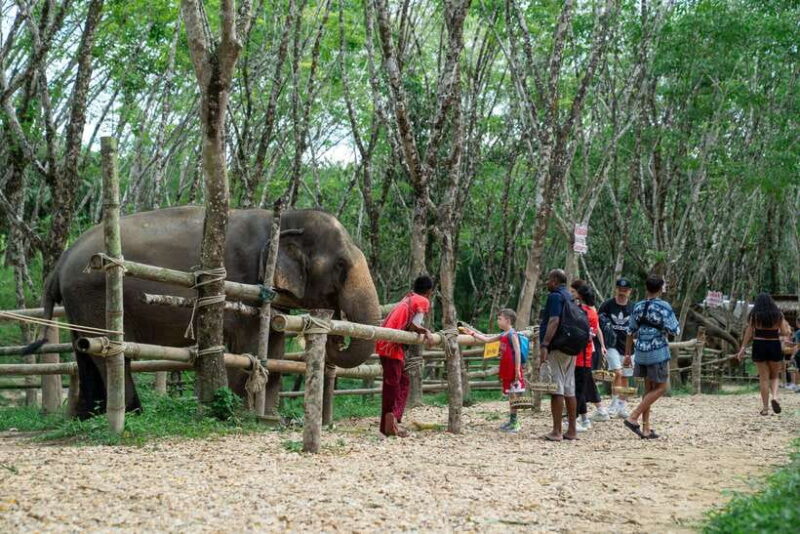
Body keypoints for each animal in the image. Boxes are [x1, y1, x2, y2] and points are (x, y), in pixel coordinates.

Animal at [35, 206, 381, 419]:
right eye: (340, 266)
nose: (336, 333)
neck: (285, 218)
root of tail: (61, 262)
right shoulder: (243, 282)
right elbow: (249, 348)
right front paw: (242, 413)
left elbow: (275, 352)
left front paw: (270, 417)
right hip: (94, 291)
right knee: (109, 353)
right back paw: (132, 413)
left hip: (79, 303)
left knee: (84, 349)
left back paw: (85, 417)